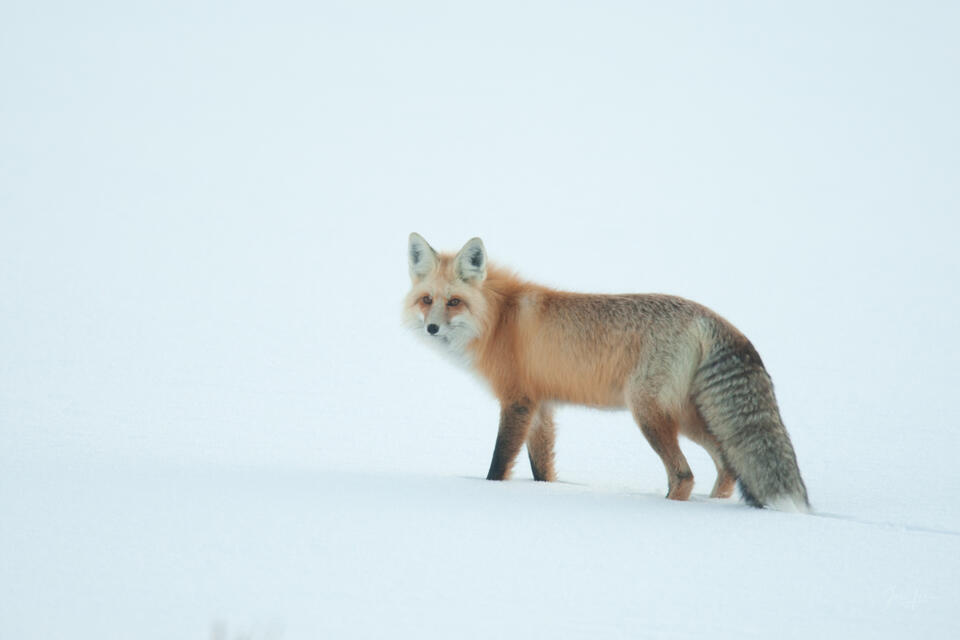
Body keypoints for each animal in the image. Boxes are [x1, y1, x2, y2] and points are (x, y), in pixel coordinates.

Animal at [404, 233, 810, 511]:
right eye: (427, 300)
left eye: (454, 302)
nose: (432, 329)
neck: (499, 320)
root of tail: (709, 315)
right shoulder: (541, 406)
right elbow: (542, 468)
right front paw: (545, 492)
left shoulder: (517, 402)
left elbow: (499, 463)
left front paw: (488, 492)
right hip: (688, 416)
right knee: (727, 465)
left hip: (648, 412)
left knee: (684, 474)